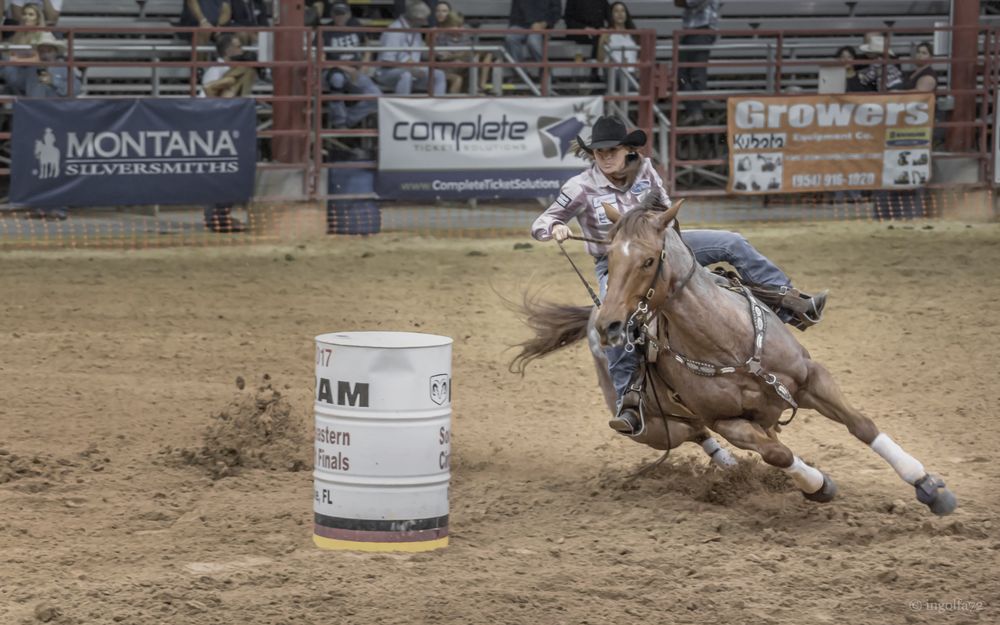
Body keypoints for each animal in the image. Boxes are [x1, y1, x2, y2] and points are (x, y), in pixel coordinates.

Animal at [512, 198, 956, 515]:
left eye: (648, 259)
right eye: (609, 257)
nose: (611, 326)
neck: (730, 343)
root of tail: (590, 314)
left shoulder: (812, 378)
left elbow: (862, 425)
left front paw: (928, 486)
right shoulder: (726, 420)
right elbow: (779, 455)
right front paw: (818, 484)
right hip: (656, 431)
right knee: (698, 434)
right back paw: (730, 467)